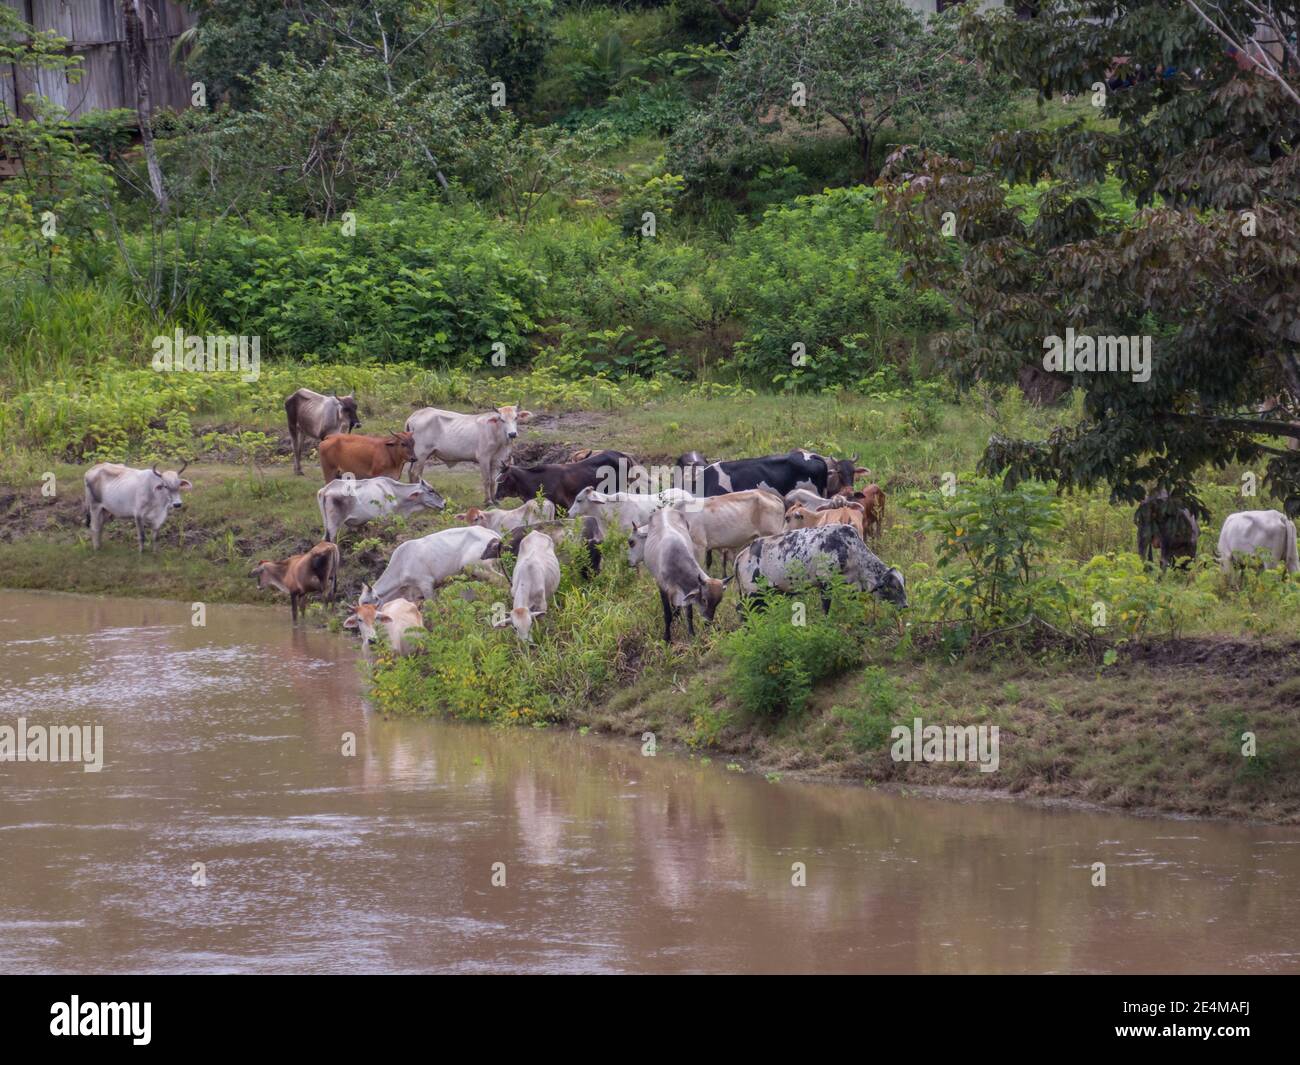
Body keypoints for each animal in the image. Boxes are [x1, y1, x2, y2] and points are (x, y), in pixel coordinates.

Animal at [317, 476, 446, 542]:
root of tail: (325, 489)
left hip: (326, 524)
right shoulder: (386, 518)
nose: (444, 503)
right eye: (431, 490)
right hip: (333, 525)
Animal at [626, 508, 728, 643]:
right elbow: (667, 614)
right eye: (704, 600)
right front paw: (667, 638)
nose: (708, 622)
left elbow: (689, 614)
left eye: (718, 602)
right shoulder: (663, 588)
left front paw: (692, 635)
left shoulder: (685, 590)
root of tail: (665, 509)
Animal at [734, 525, 907, 610]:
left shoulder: (852, 585)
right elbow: (826, 608)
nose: (905, 605)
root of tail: (741, 554)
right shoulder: (826, 583)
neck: (849, 549)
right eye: (894, 587)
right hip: (753, 593)